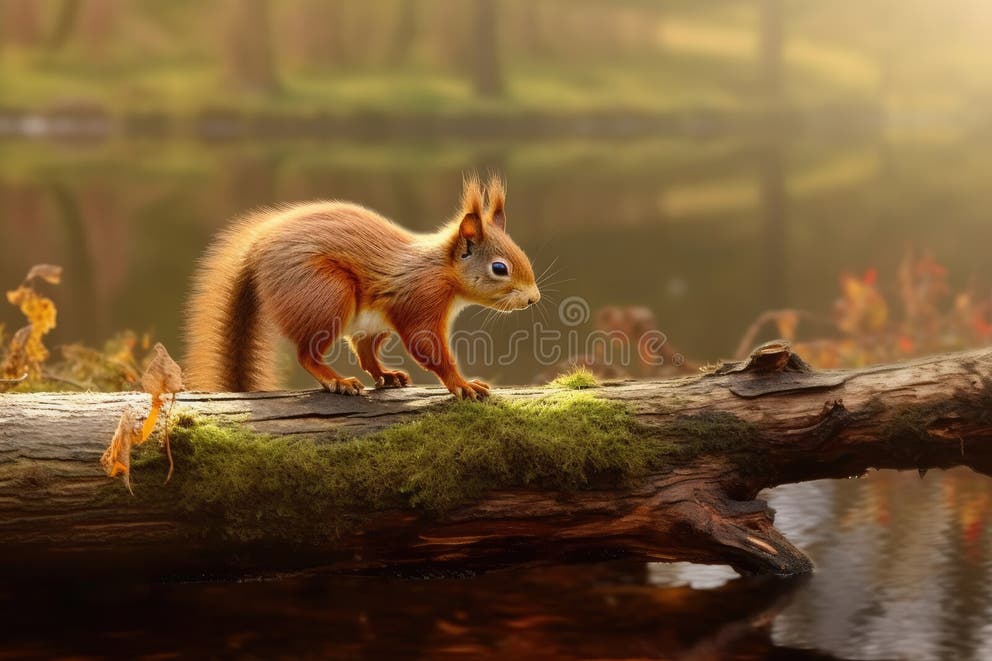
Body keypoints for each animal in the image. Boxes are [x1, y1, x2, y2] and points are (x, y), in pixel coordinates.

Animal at [184, 174, 540, 400]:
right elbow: (428, 348)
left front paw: (387, 375)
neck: (442, 271)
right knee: (307, 353)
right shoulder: (419, 300)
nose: (533, 299)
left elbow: (367, 350)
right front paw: (462, 385)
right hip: (326, 295)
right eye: (499, 268)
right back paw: (337, 380)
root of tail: (255, 255)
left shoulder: (384, 316)